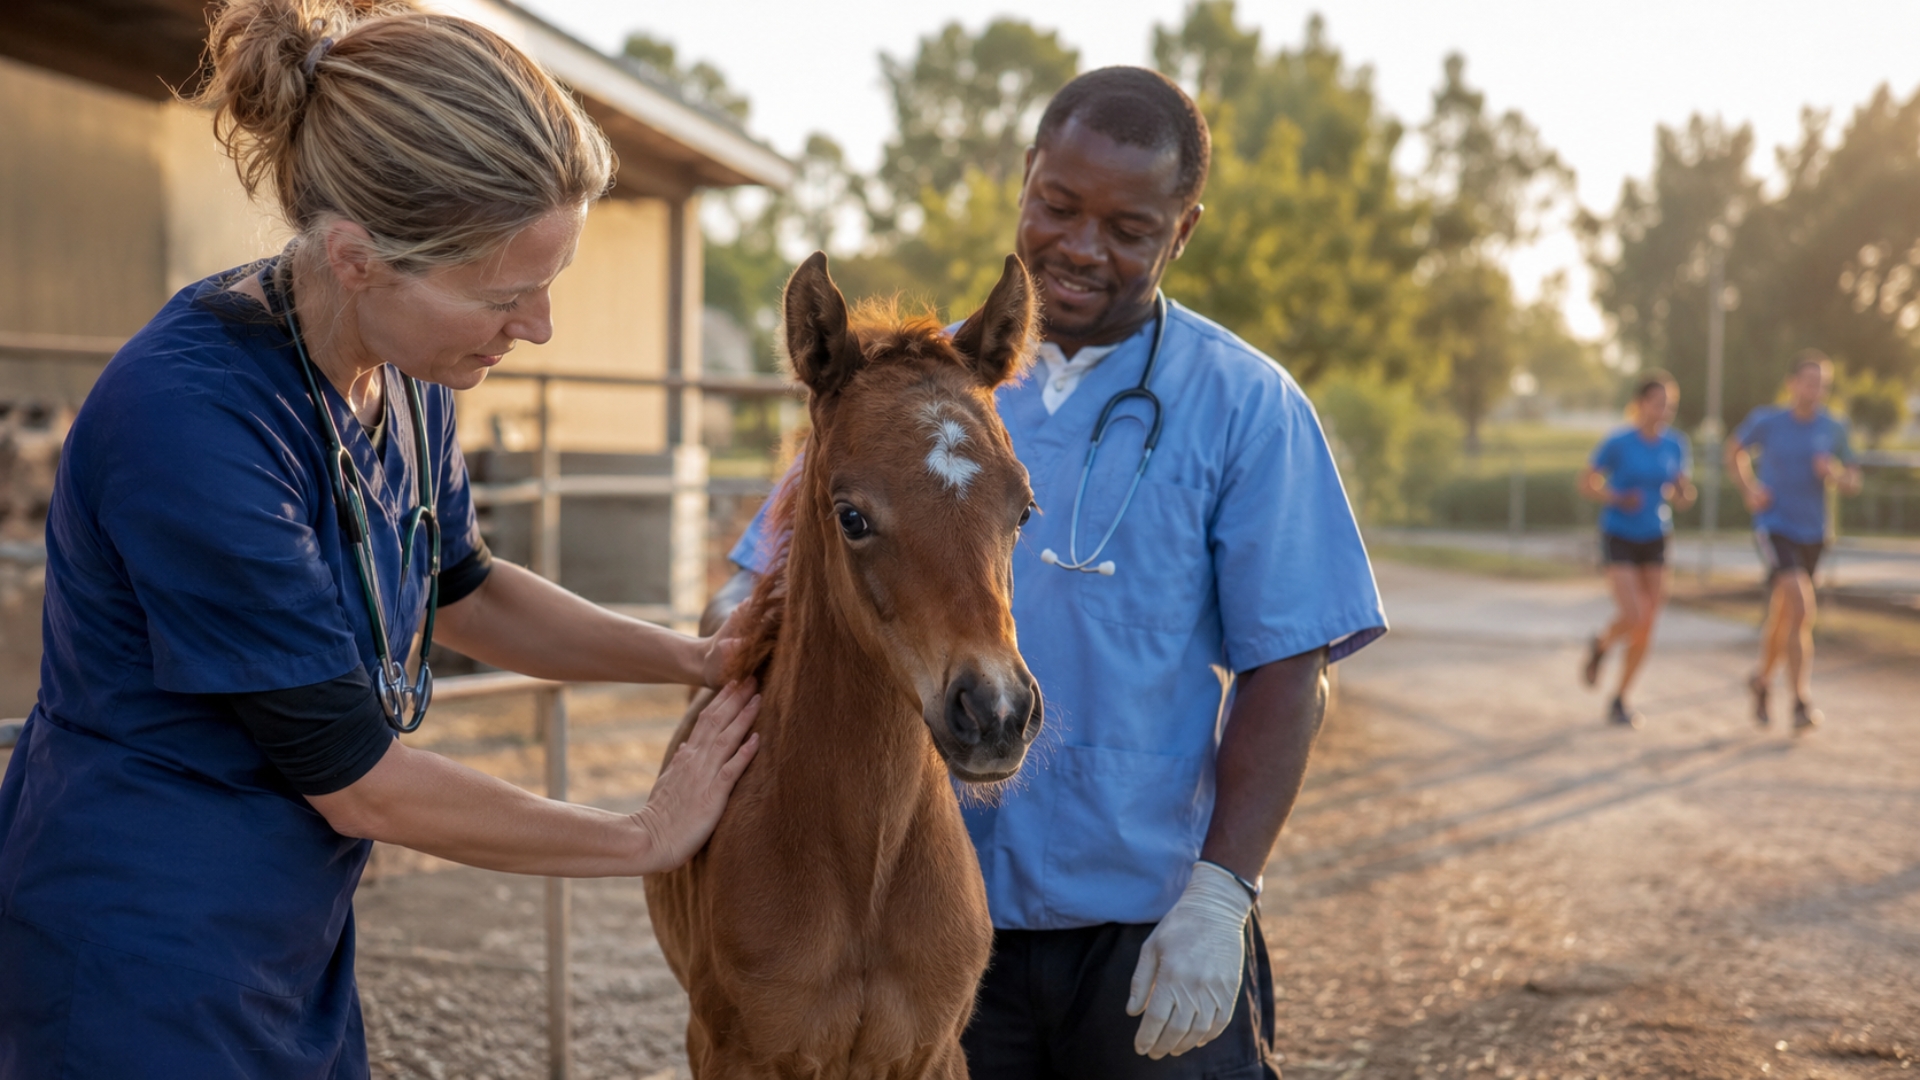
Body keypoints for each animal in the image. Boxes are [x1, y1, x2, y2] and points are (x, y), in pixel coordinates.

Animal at [645, 251, 1045, 1079]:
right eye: (852, 516)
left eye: (1024, 508)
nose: (995, 711)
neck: (865, 873)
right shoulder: (732, 1051)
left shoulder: (933, 1051)